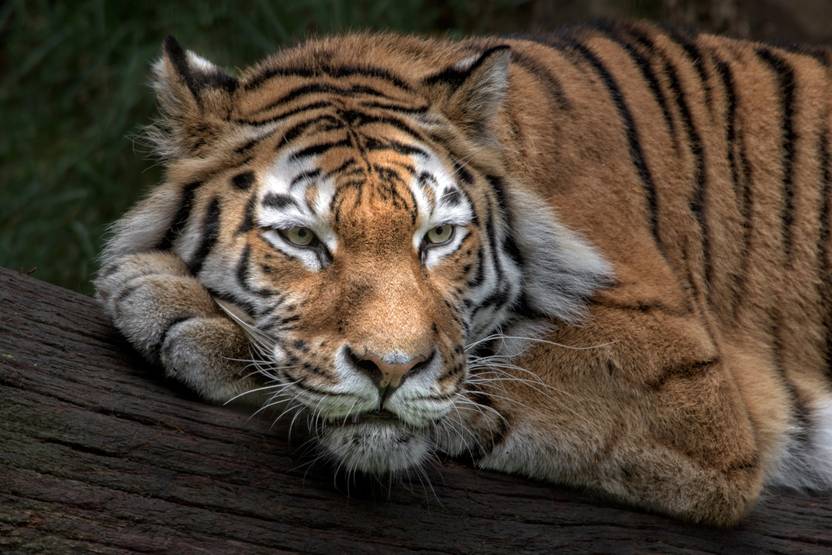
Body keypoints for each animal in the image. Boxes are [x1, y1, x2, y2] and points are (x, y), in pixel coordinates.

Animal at [95, 20, 832, 525]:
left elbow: (497, 375)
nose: (390, 370)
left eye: (439, 237)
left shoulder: (687, 384)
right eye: (302, 238)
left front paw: (167, 304)